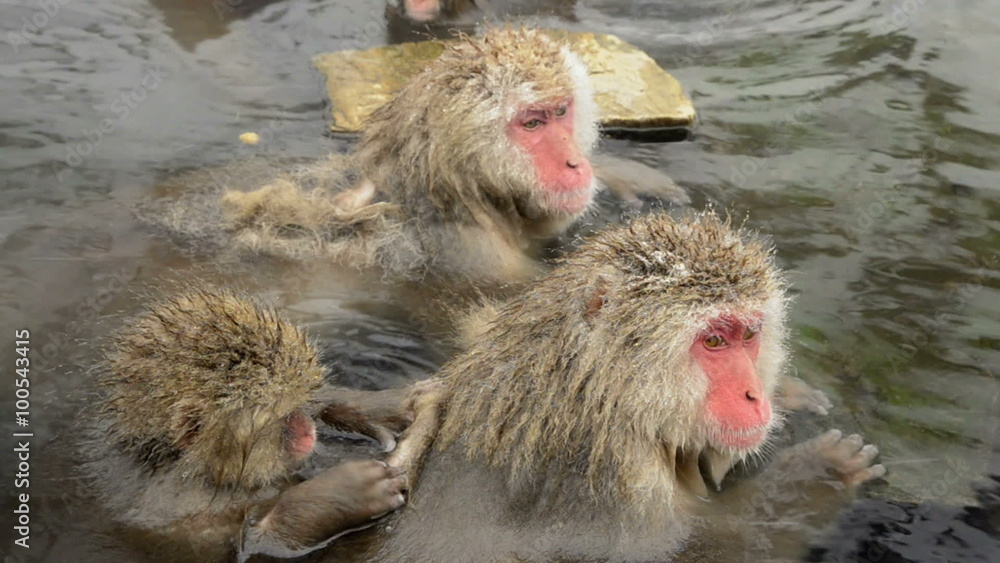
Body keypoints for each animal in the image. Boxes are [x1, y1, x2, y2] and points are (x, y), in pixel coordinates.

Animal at [84, 287, 438, 562]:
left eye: (295, 403)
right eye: (278, 417)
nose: (306, 428)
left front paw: (379, 409)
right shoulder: (183, 516)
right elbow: (256, 544)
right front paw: (347, 492)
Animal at [311, 212, 886, 562]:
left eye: (748, 335)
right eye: (714, 342)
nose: (753, 396)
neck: (602, 390)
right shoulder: (607, 481)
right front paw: (813, 478)